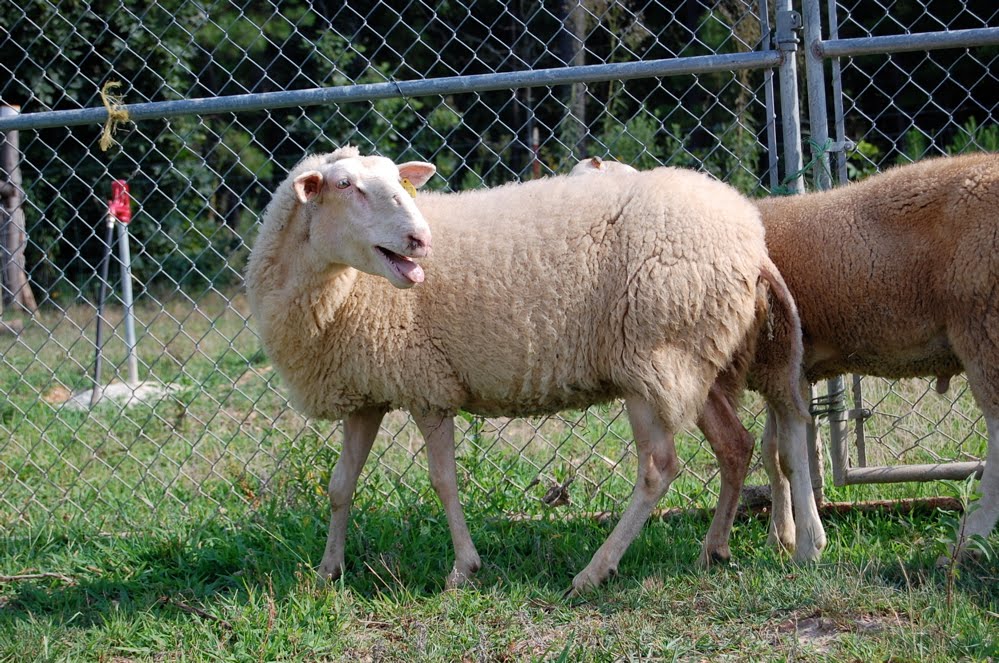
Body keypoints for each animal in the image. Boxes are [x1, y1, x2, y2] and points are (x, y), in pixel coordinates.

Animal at [244, 145, 809, 595]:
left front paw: (463, 570)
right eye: (345, 186)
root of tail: (751, 239)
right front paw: (327, 571)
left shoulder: (427, 386)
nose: (421, 239)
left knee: (659, 468)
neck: (342, 290)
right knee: (734, 446)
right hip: (696, 359)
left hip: (652, 358)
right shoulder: (365, 393)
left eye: (400, 184)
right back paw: (713, 550)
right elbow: (341, 485)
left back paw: (594, 571)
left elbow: (443, 481)